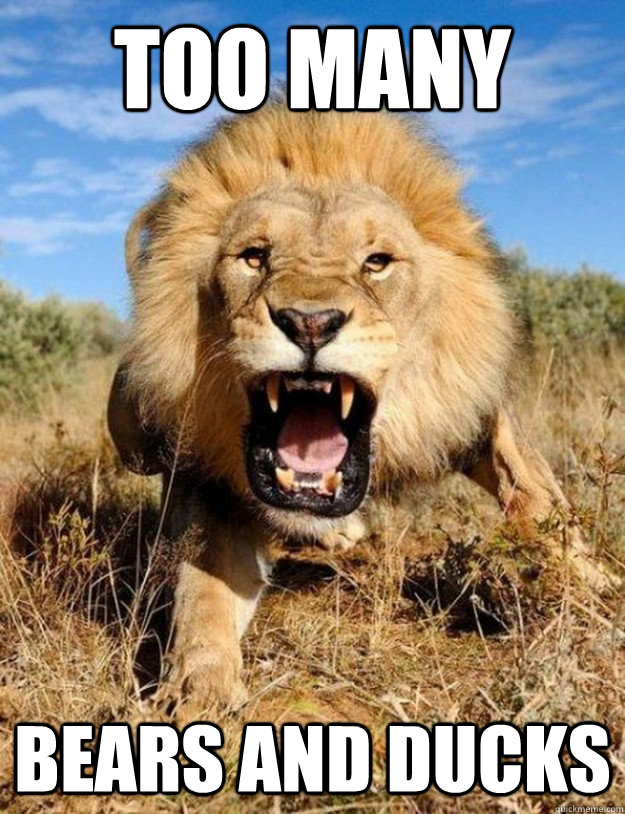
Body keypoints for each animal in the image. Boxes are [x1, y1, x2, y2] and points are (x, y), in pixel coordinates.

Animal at [108, 103, 594, 712]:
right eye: (254, 257)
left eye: (377, 262)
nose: (309, 322)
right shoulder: (213, 480)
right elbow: (205, 592)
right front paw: (196, 688)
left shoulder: (476, 410)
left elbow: (540, 500)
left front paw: (598, 590)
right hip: (135, 429)